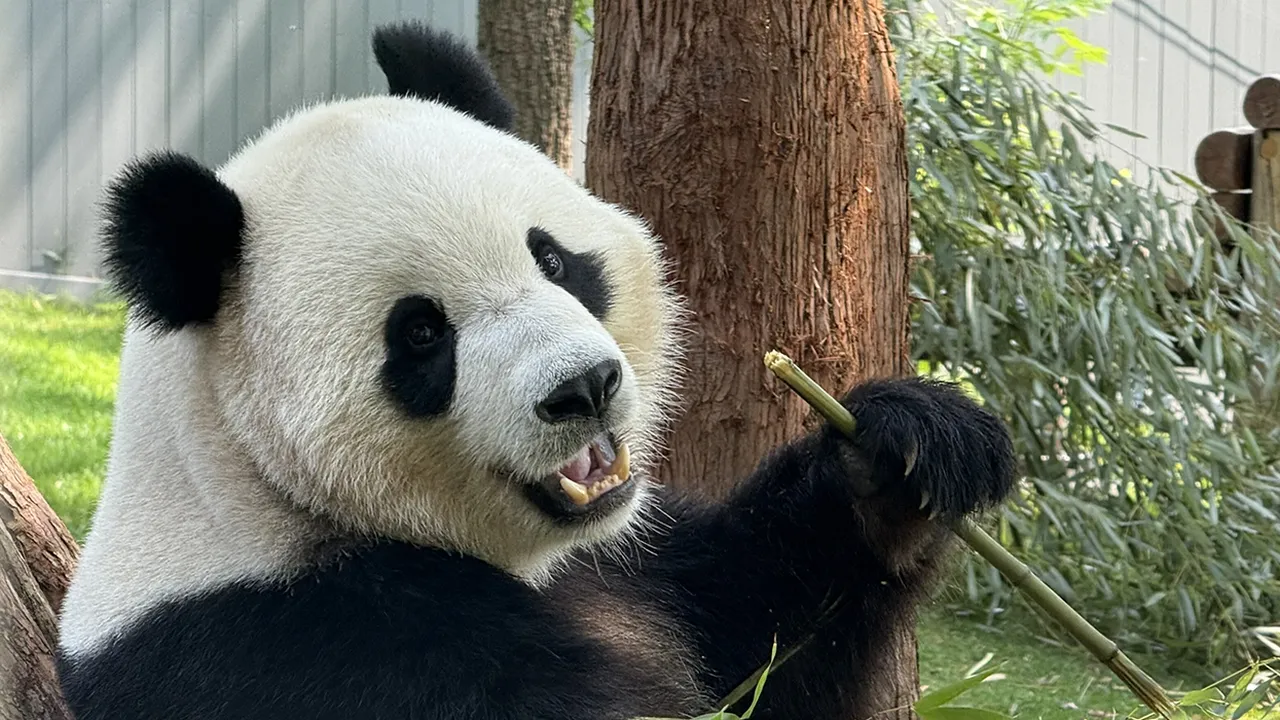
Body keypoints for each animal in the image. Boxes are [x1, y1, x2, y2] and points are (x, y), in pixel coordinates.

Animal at [55, 21, 1016, 720]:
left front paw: (901, 453)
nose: (584, 388)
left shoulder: (635, 558)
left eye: (552, 259)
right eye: (421, 335)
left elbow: (769, 636)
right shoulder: (292, 642)